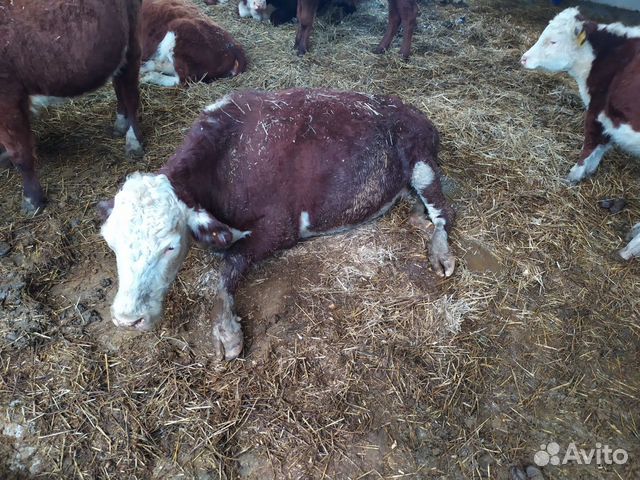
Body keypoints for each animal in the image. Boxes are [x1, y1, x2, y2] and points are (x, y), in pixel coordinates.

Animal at [0, 0, 143, 214]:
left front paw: (32, 200)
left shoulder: (7, 96)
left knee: (131, 92)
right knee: (119, 82)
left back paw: (133, 141)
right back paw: (120, 125)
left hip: (132, 39)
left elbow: (21, 154)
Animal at [99, 88, 456, 360]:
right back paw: (416, 216)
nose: (128, 318)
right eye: (112, 245)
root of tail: (413, 110)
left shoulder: (282, 226)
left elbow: (229, 264)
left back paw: (440, 251)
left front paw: (227, 332)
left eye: (170, 246)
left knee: (445, 211)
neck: (226, 158)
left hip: (422, 162)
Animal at [521, 7, 640, 260]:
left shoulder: (597, 110)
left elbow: (590, 145)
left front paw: (573, 176)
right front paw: (589, 171)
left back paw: (629, 249)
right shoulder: (610, 116)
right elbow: (602, 145)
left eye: (553, 41)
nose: (523, 58)